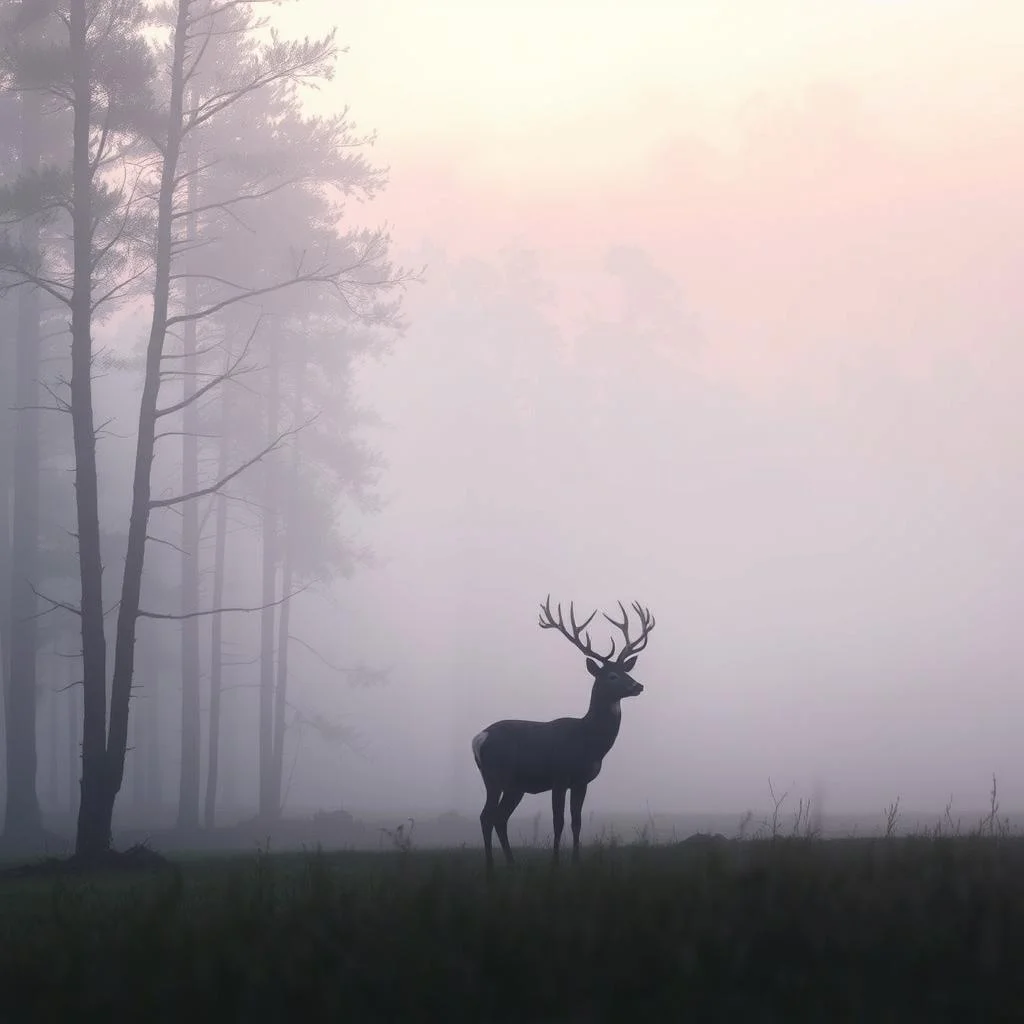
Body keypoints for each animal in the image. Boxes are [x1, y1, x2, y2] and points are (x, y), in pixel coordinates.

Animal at [471, 596, 656, 871]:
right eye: (612, 675)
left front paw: (576, 862)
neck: (588, 742)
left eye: (627, 670)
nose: (638, 685)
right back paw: (491, 869)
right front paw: (555, 864)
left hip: (514, 785)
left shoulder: (581, 781)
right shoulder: (559, 777)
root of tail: (479, 738)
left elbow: (576, 822)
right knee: (486, 816)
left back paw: (512, 864)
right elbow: (558, 822)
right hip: (494, 775)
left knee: (500, 818)